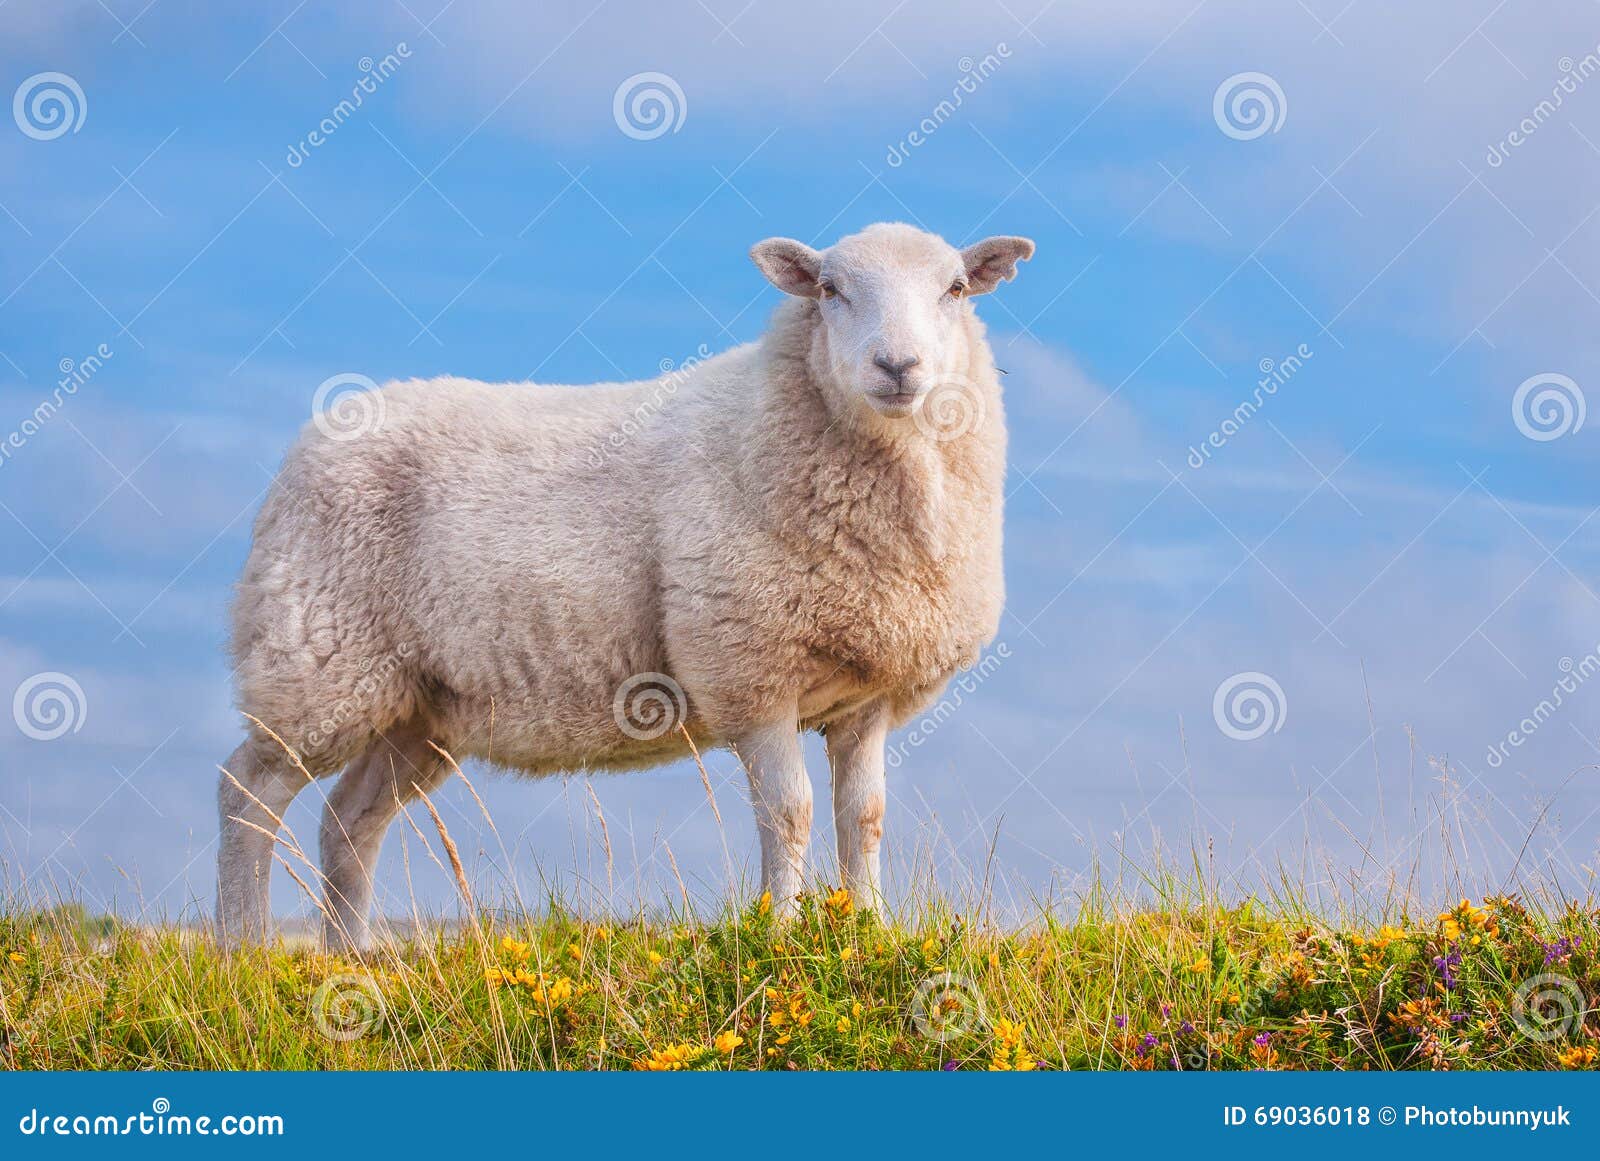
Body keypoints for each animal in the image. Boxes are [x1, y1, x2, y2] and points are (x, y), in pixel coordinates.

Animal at [217, 221, 1034, 949]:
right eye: (830, 290)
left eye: (956, 289)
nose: (897, 366)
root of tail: (319, 434)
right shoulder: (749, 671)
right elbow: (790, 812)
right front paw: (780, 934)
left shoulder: (866, 694)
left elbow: (863, 816)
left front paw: (869, 932)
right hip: (318, 657)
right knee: (249, 791)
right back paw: (245, 949)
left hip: (419, 704)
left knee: (348, 820)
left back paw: (351, 958)